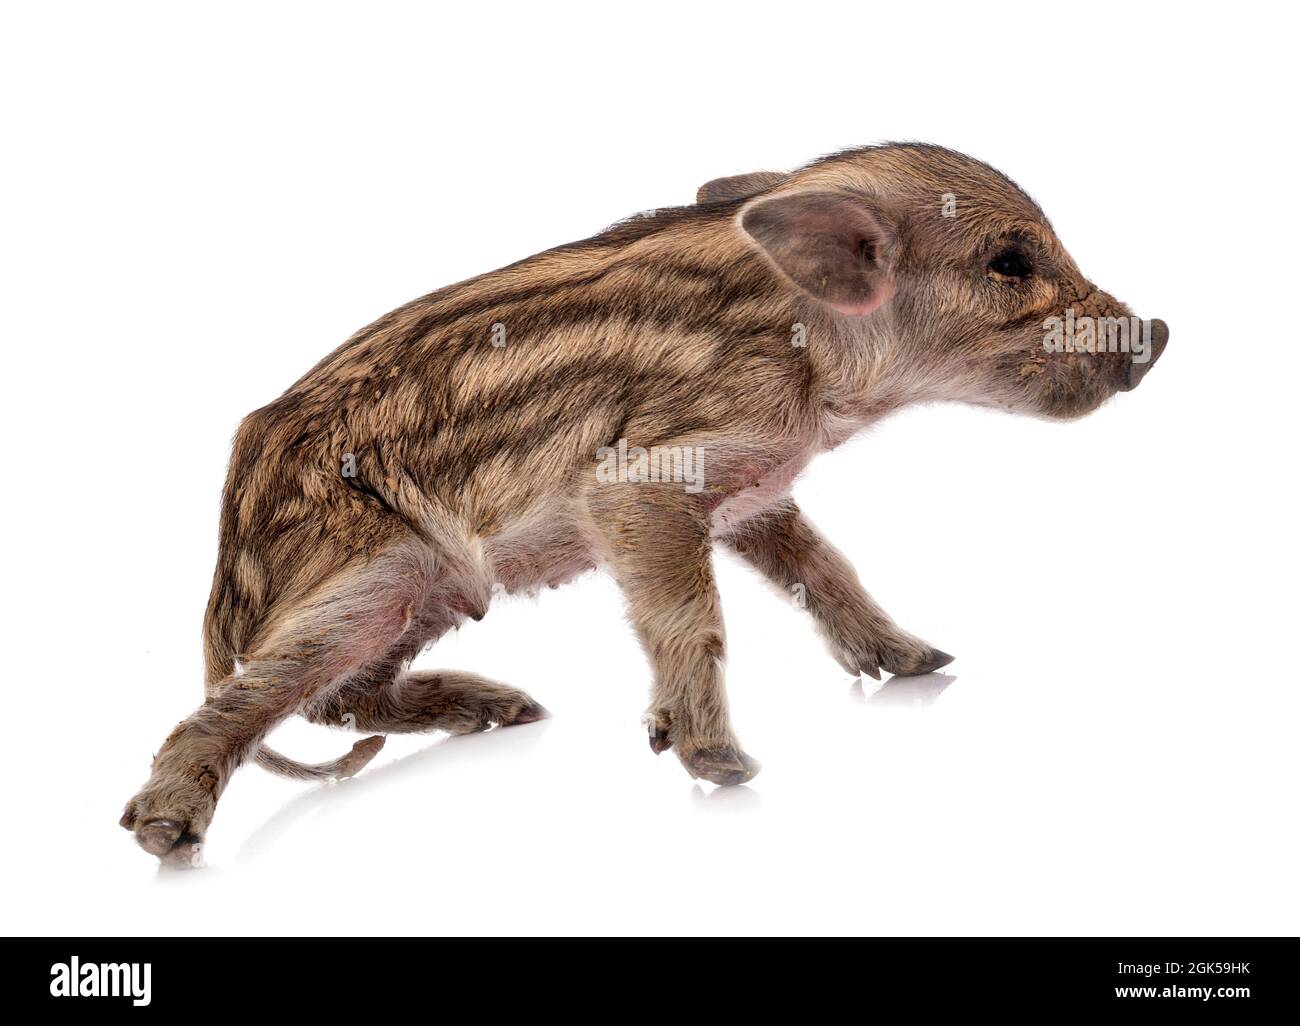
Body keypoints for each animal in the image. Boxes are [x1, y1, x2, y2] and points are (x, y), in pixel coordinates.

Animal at [120, 143, 1168, 865]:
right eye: (1011, 262)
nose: (1156, 331)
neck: (815, 355)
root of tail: (229, 539)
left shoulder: (754, 490)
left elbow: (823, 567)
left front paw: (922, 662)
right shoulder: (638, 480)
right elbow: (691, 615)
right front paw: (721, 765)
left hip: (426, 595)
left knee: (345, 700)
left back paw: (512, 709)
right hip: (368, 580)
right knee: (250, 701)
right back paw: (166, 834)